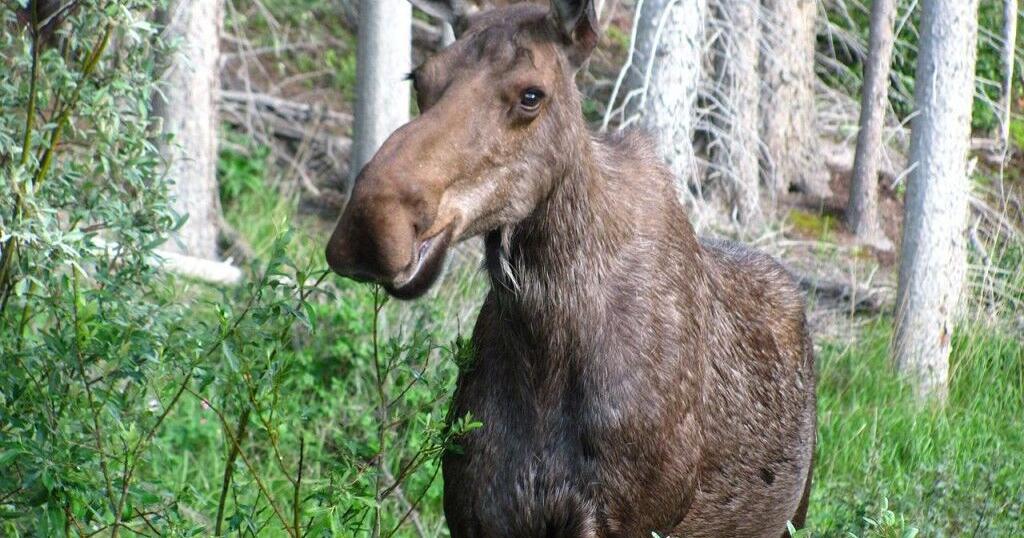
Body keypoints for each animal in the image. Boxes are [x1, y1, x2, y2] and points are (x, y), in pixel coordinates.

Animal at [325, 1, 816, 536]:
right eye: (419, 77)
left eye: (531, 95)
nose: (369, 226)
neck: (543, 343)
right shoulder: (478, 510)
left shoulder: (625, 518)